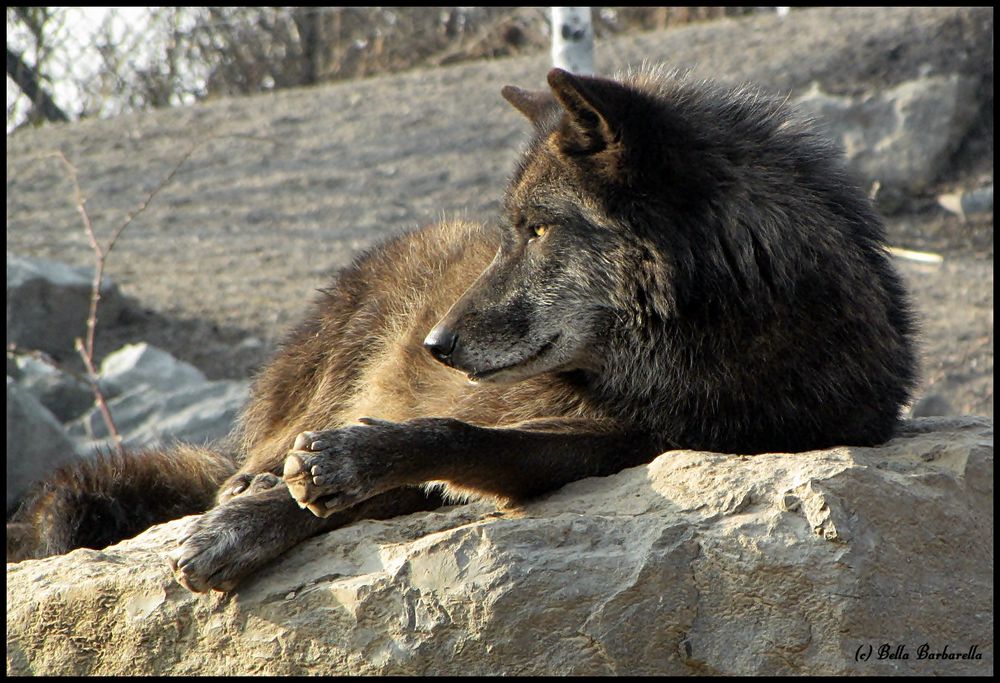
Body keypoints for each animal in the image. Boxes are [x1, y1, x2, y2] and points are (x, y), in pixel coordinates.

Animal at [8, 68, 917, 593]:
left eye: (538, 231)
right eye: (511, 230)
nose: (435, 346)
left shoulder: (620, 445)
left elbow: (450, 443)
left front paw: (339, 468)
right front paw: (262, 507)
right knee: (242, 459)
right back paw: (248, 478)